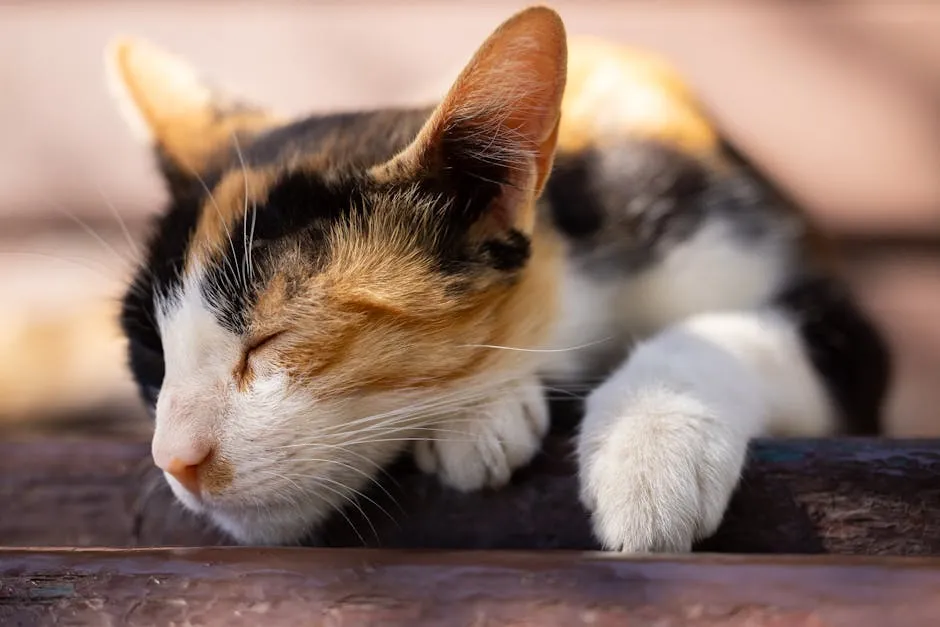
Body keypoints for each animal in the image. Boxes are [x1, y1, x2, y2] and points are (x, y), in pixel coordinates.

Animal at [108, 7, 888, 552]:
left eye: (273, 339)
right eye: (148, 353)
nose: (174, 460)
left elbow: (731, 331)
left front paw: (650, 439)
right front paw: (481, 412)